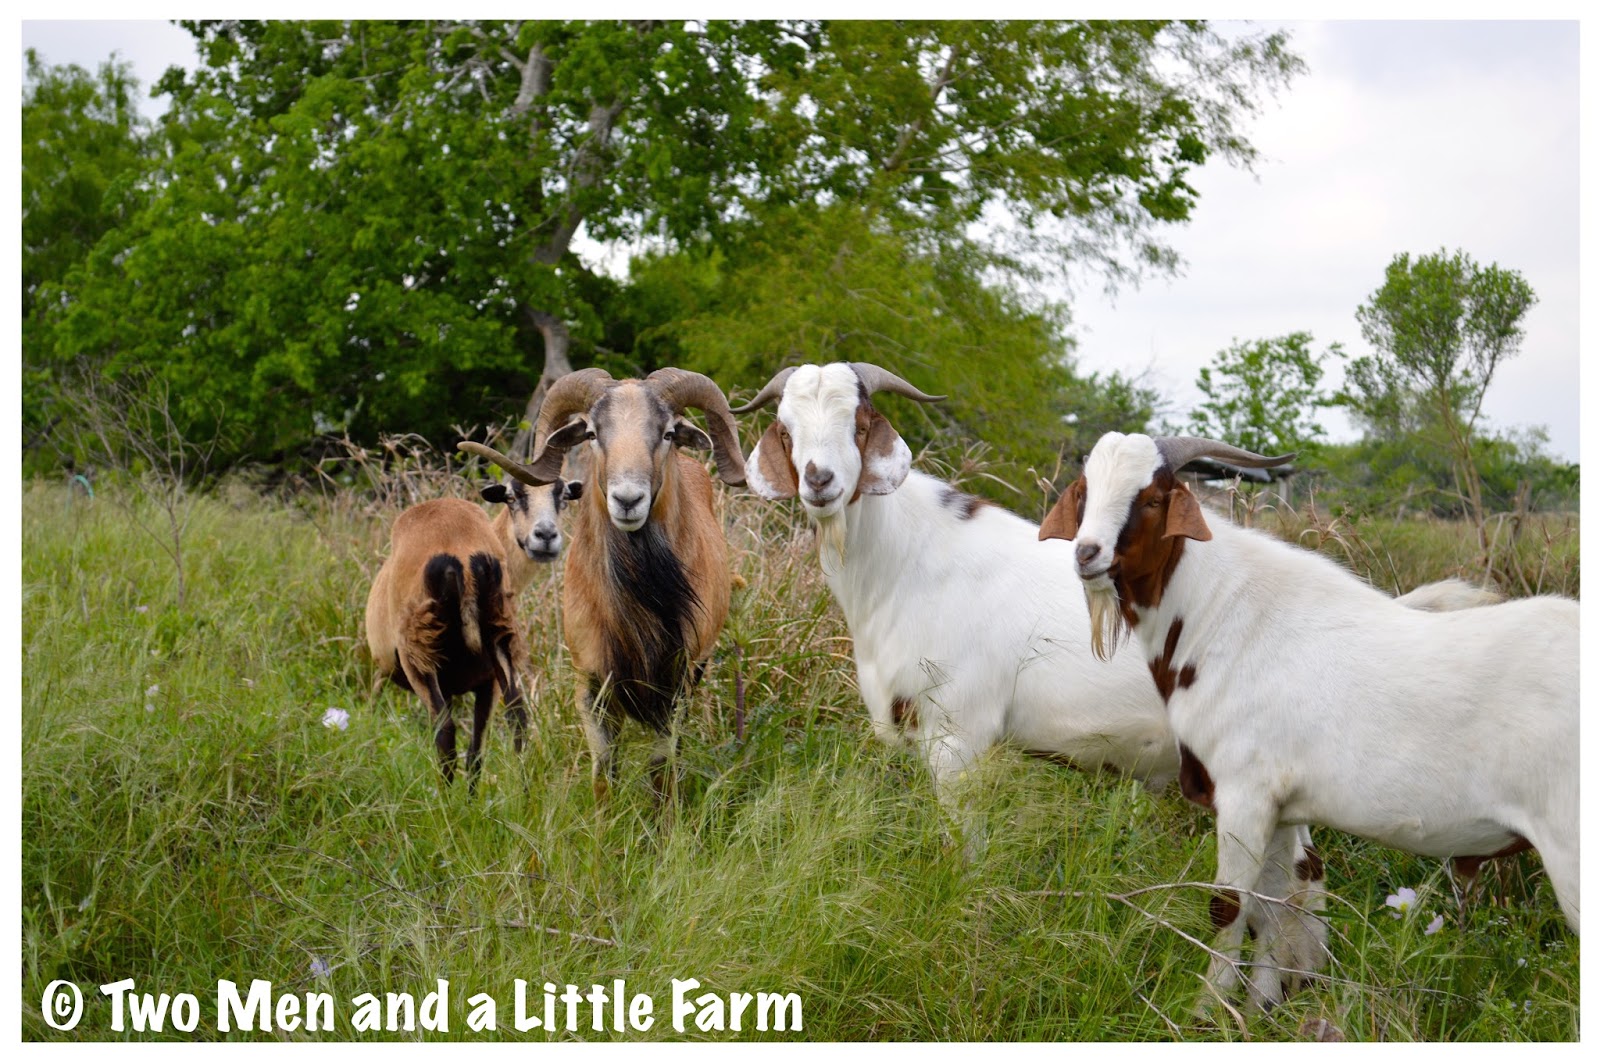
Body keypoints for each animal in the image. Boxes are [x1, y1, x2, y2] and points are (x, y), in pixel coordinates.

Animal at [460, 367, 746, 802]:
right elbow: (604, 775)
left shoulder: (675, 684)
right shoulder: (591, 685)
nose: (627, 500)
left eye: (667, 433)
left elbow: (661, 771)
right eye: (592, 433)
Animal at [1044, 432, 1580, 1009]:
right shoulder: (1281, 808)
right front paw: (1260, 1007)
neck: (1227, 619)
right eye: (1084, 490)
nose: (1087, 554)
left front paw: (1209, 1011)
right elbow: (1277, 904)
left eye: (1153, 498)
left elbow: (1229, 907)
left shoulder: (1244, 794)